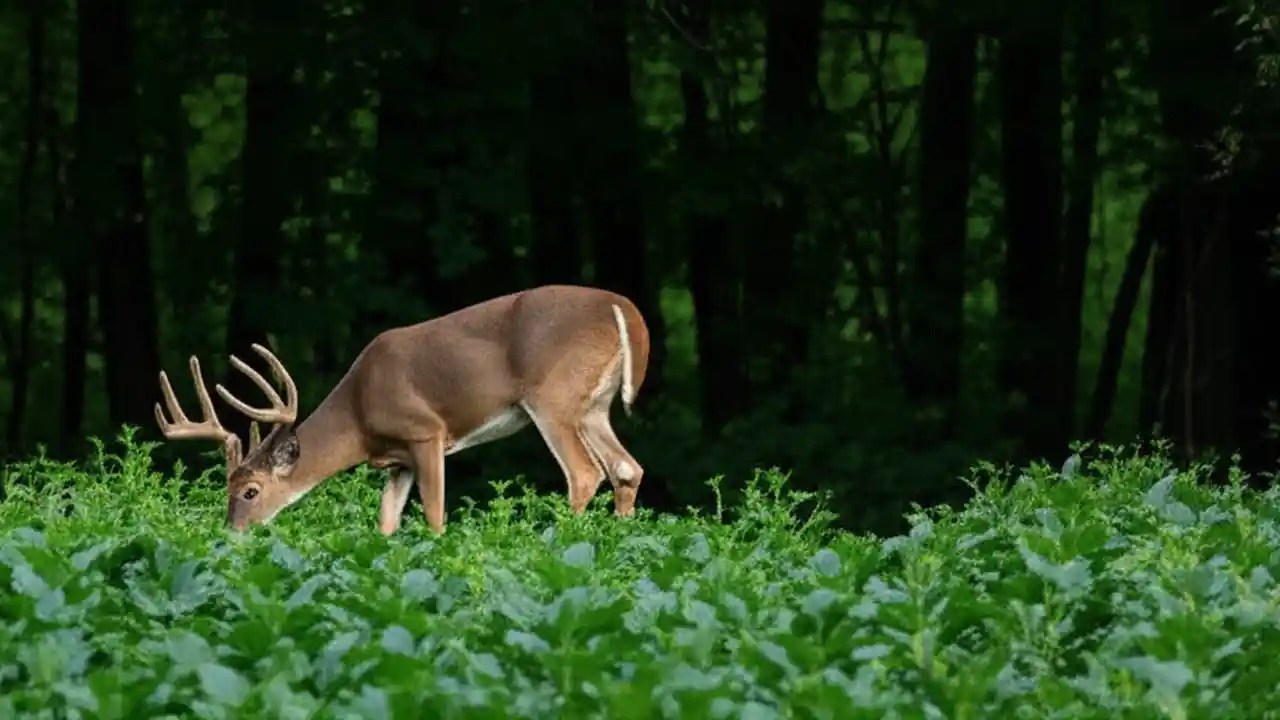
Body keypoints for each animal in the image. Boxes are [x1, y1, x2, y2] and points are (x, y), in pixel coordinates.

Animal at [153, 284, 650, 535]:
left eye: (250, 491)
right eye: (227, 487)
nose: (230, 533)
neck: (358, 415)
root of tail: (624, 308)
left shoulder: (425, 432)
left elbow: (434, 514)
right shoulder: (398, 462)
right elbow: (386, 523)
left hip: (552, 396)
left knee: (584, 473)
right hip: (593, 406)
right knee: (627, 468)